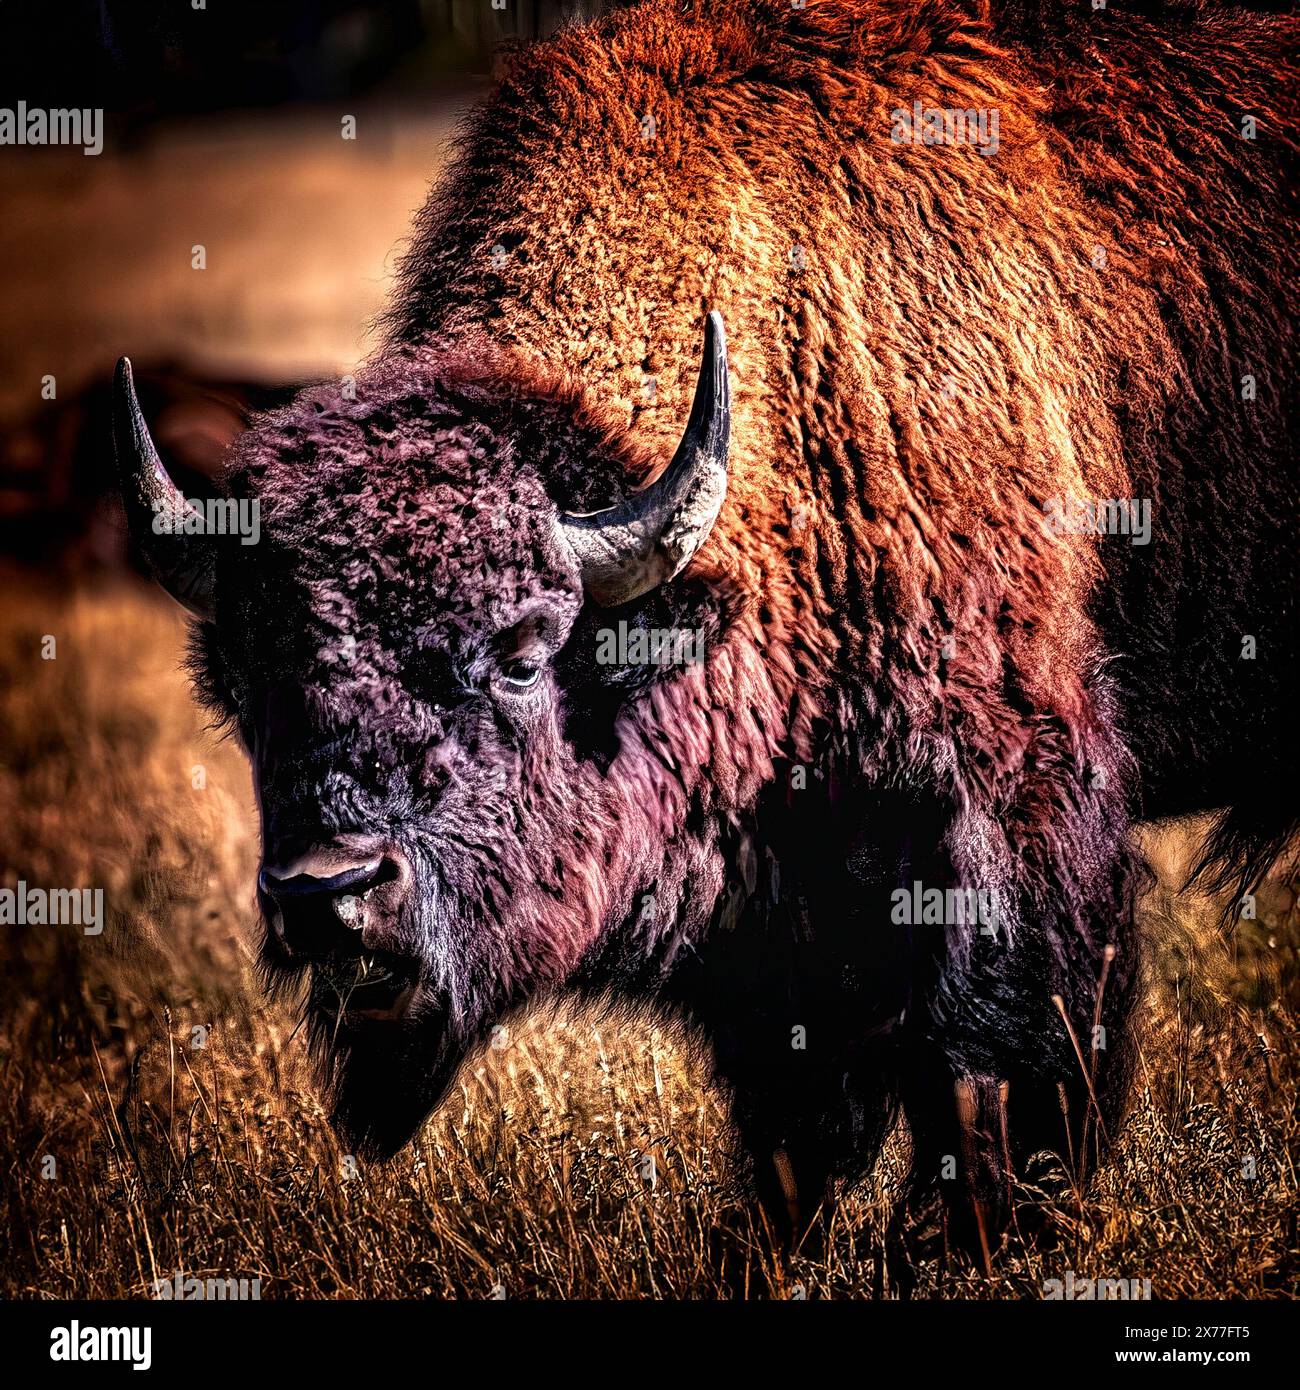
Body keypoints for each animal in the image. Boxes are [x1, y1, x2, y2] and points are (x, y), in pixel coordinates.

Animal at [113, 0, 1296, 1268]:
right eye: (246, 683)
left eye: (522, 654)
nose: (328, 893)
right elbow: (799, 1120)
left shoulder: (1013, 821)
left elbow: (999, 1071)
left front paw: (979, 1238)